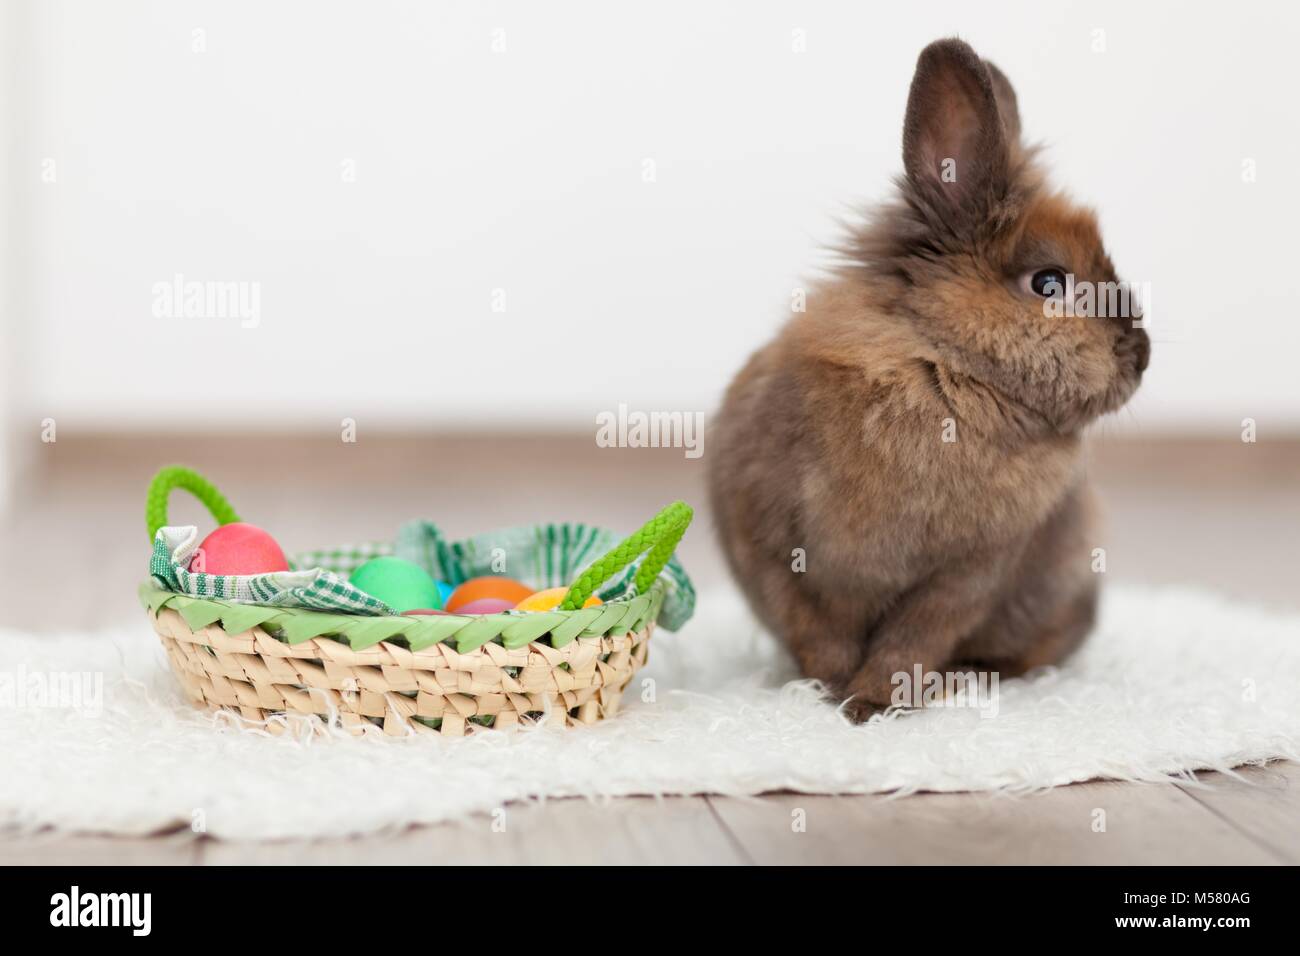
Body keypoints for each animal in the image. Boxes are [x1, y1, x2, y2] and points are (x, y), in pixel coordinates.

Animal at [707, 38, 1150, 721]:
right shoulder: (771, 547)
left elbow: (910, 643)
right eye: (1050, 283)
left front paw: (869, 704)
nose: (1142, 353)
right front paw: (832, 697)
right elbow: (818, 632)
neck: (944, 365)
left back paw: (968, 679)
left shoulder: (968, 576)